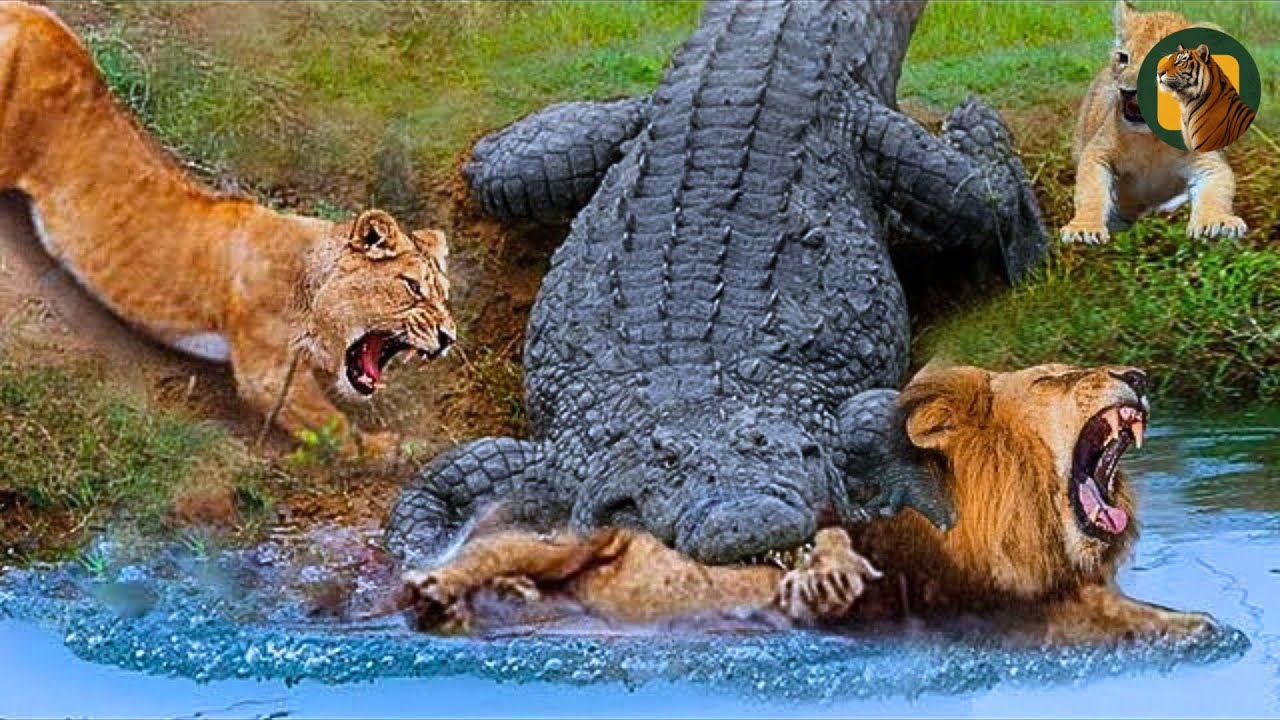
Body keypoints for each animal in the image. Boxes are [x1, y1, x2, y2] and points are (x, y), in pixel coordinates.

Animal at [0, 2, 455, 455]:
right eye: (413, 287)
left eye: (444, 295)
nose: (449, 337)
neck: (311, 280)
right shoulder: (266, 371)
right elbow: (336, 428)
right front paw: (392, 450)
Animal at [399, 363, 1217, 644]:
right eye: (1060, 376)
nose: (1137, 374)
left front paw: (1197, 625)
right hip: (564, 535)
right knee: (479, 554)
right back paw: (438, 590)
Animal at [1061, 0, 1245, 244]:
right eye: (1123, 58)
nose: (1126, 91)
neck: (1152, 140)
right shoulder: (1098, 151)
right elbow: (1090, 190)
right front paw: (1083, 228)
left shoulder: (1209, 161)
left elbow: (1218, 190)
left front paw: (1218, 222)